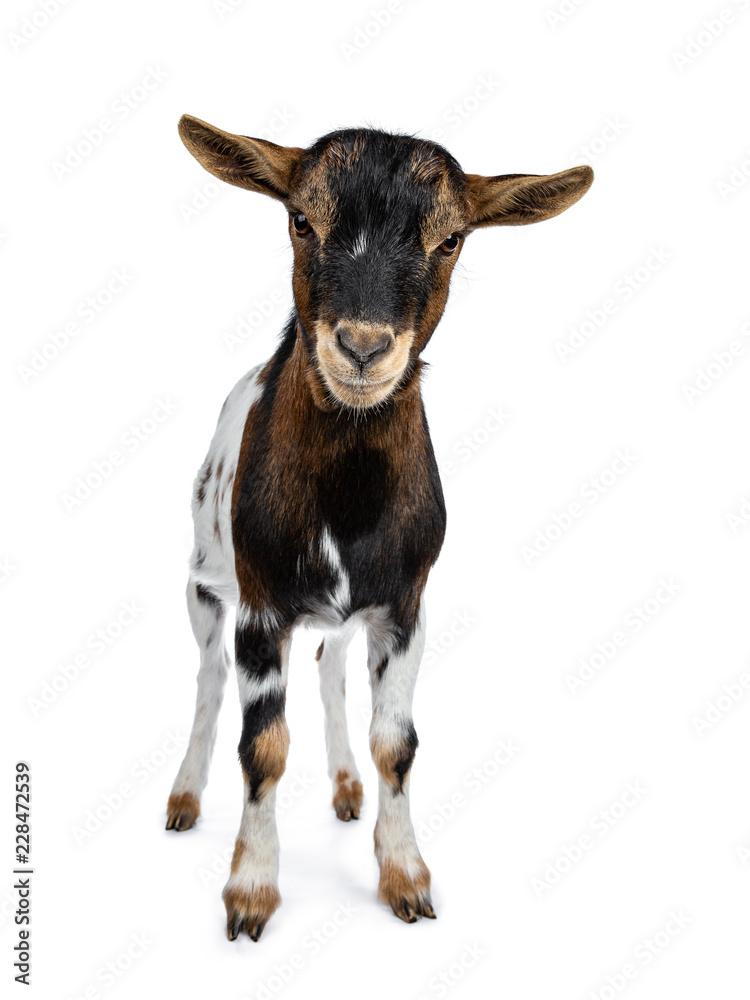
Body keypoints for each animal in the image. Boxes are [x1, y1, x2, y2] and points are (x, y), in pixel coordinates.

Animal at [166, 115, 593, 941]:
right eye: (301, 219)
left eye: (451, 239)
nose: (362, 348)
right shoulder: (261, 607)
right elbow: (262, 746)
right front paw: (250, 892)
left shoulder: (404, 607)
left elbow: (396, 743)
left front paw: (405, 878)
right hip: (203, 583)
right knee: (207, 679)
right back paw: (183, 799)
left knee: (329, 665)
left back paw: (343, 788)